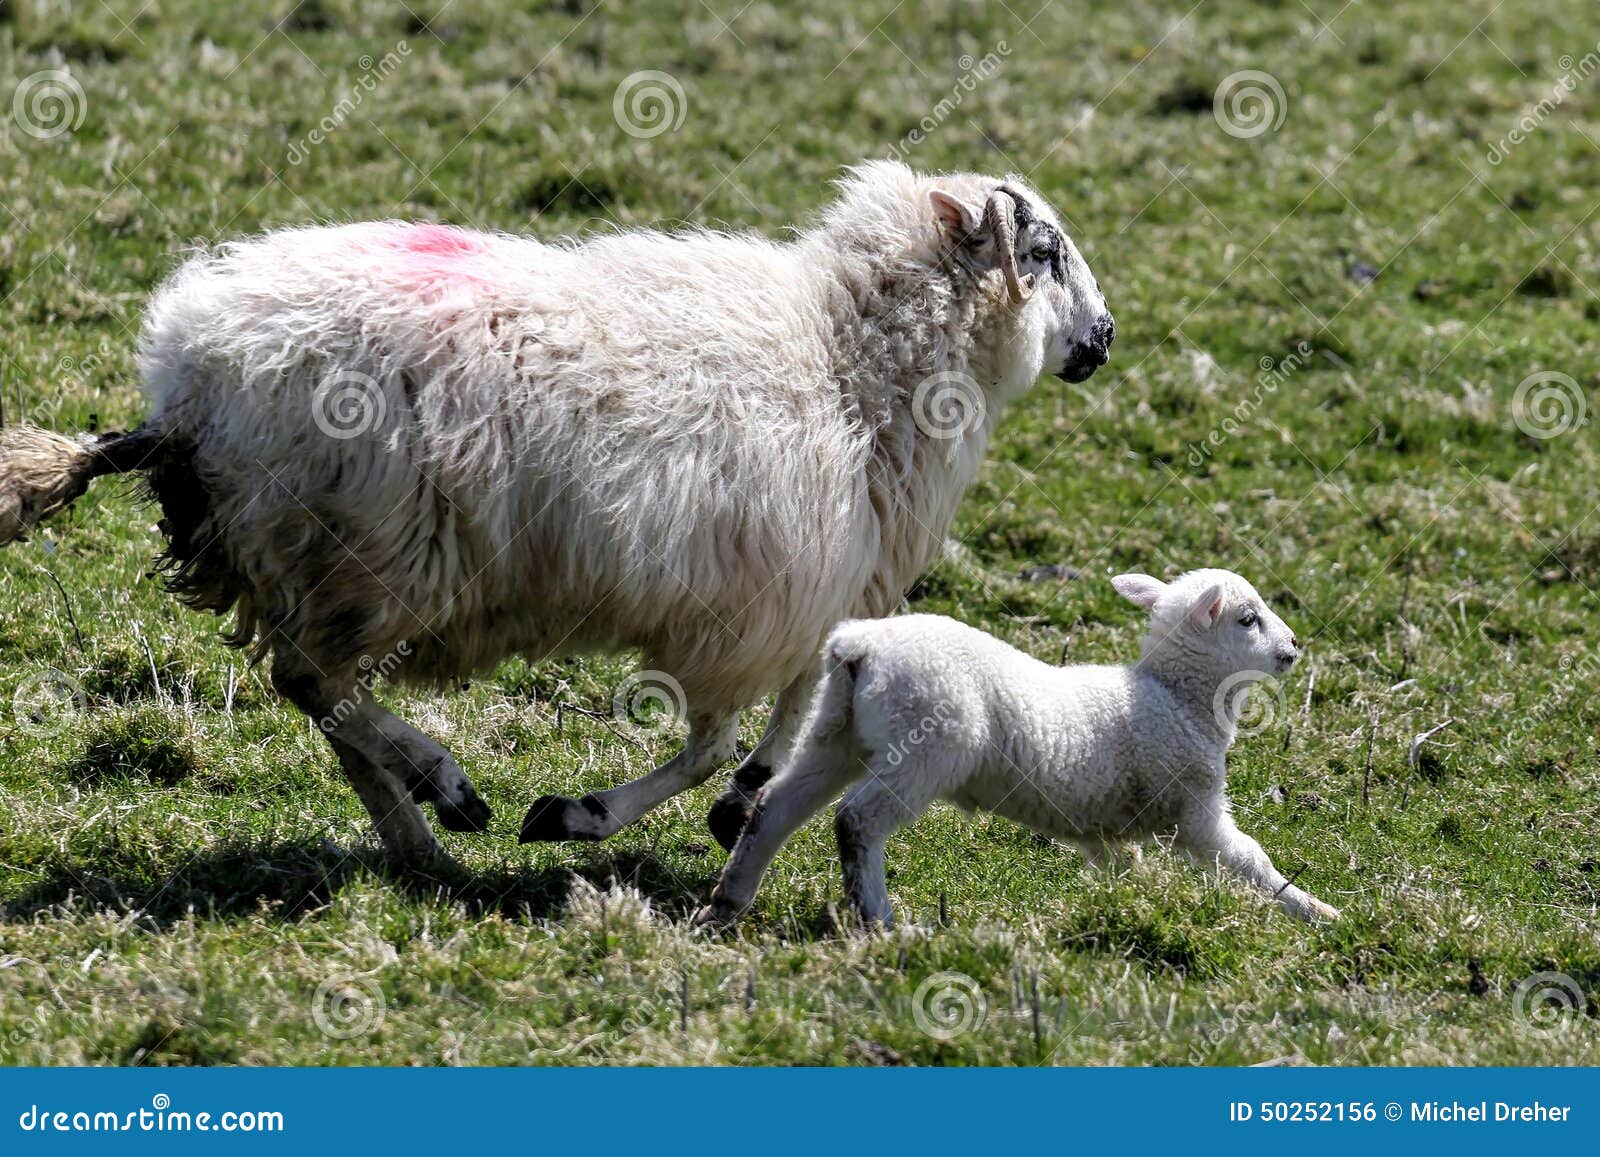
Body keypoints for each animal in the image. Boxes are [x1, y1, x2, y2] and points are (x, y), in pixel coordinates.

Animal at [0, 161, 1115, 864]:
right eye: (1045, 251)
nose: (1104, 337)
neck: (852, 358)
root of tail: (189, 389)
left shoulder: (807, 589)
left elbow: (792, 709)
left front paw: (741, 800)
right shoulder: (755, 600)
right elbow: (716, 740)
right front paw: (592, 810)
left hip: (299, 560)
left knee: (326, 702)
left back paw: (416, 842)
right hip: (366, 553)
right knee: (318, 686)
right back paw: (446, 786)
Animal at [697, 568, 1343, 928]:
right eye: (1247, 619)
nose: (1293, 646)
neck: (1176, 696)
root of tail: (859, 643)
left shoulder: (1102, 826)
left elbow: (1121, 865)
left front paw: (1133, 898)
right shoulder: (1195, 810)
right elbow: (1250, 860)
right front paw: (1316, 911)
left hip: (838, 731)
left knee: (776, 804)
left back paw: (728, 902)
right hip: (929, 746)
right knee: (856, 820)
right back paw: (879, 919)